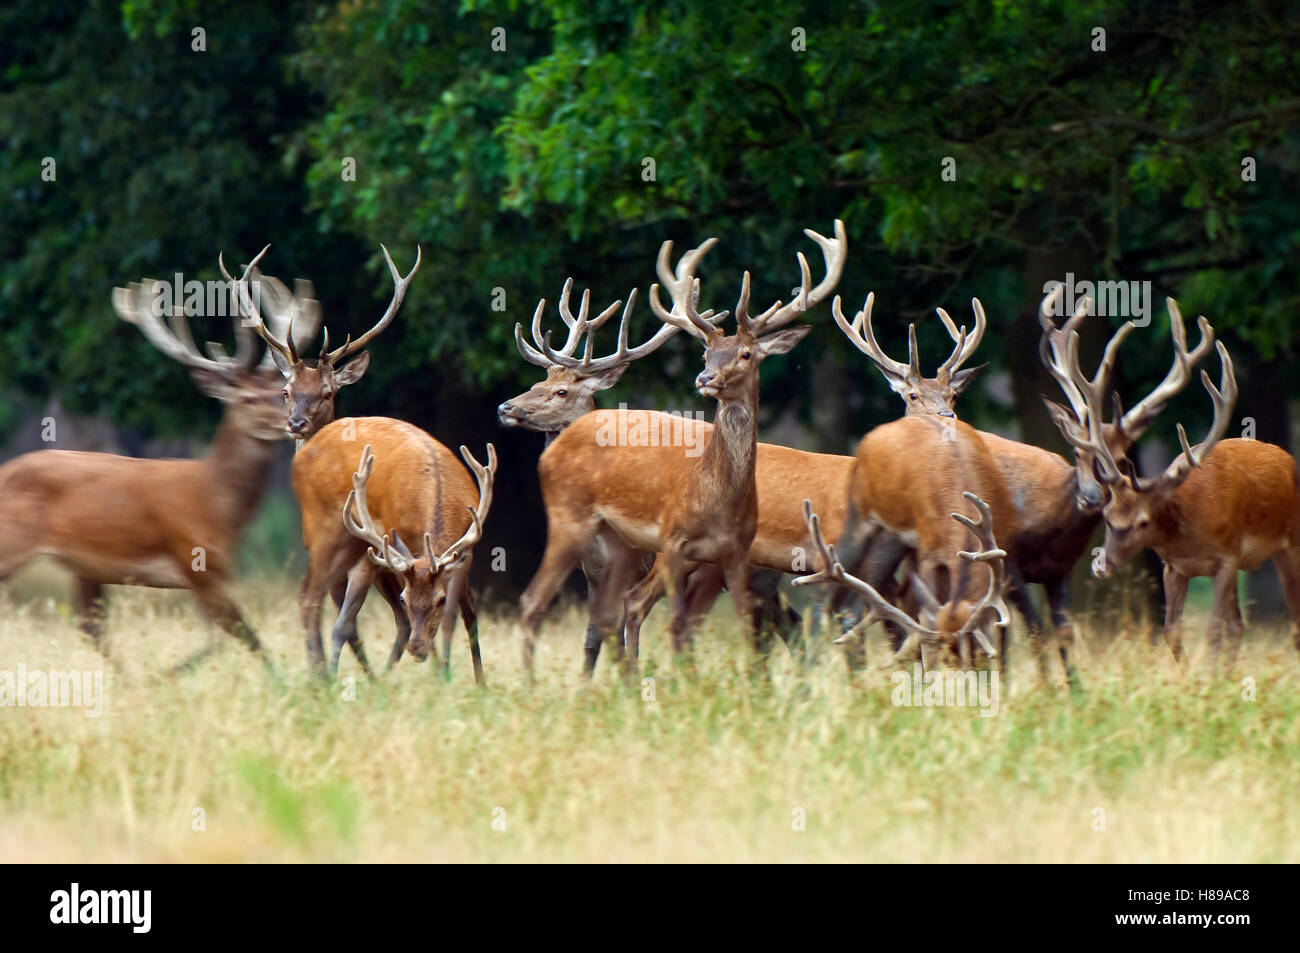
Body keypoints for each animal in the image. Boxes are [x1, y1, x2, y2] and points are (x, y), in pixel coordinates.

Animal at [0, 250, 295, 671]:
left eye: (281, 392)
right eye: (248, 399)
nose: (291, 422)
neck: (217, 505)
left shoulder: (215, 571)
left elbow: (226, 638)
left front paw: (168, 672)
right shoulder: (196, 561)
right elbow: (248, 637)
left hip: (84, 567)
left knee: (91, 629)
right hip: (12, 540)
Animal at [518, 221, 847, 673]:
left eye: (561, 392)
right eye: (538, 383)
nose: (506, 407)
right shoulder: (601, 571)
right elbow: (598, 632)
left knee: (772, 625)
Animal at [1060, 305, 1299, 672]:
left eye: (1142, 522)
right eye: (1107, 516)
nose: (1101, 566)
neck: (1188, 531)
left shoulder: (1227, 558)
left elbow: (1213, 630)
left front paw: (1207, 680)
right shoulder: (1173, 567)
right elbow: (1172, 631)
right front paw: (1192, 678)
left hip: (1291, 543)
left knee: (1289, 622)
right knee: (1239, 626)